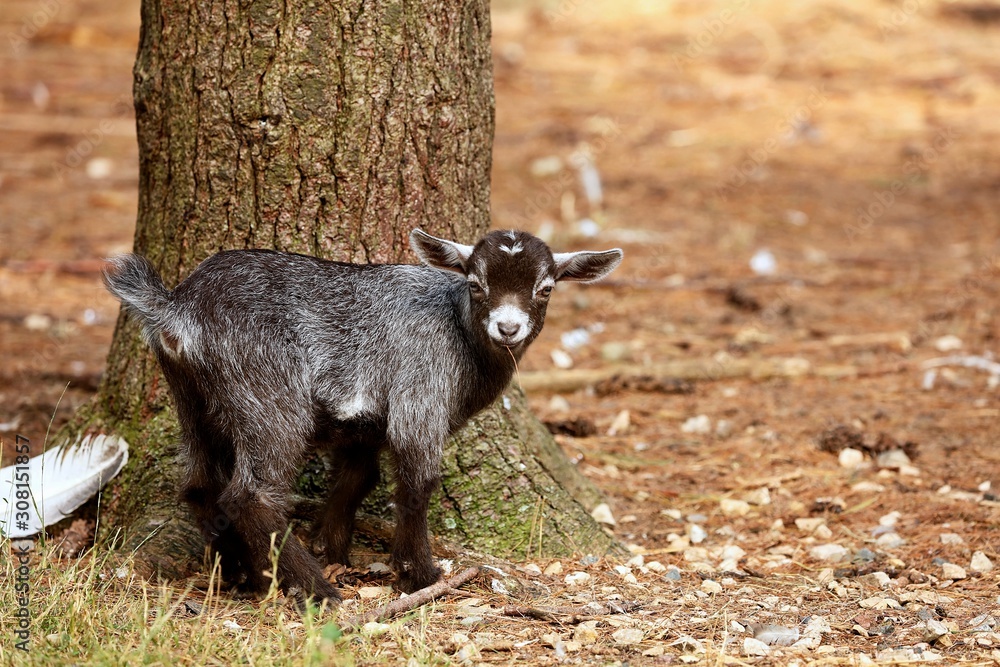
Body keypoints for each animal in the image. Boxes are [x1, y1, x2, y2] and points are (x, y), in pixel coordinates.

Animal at [103, 229, 622, 602]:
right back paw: (316, 588)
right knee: (251, 495)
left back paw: (239, 573)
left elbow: (358, 477)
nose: (508, 327)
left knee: (199, 485)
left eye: (545, 287)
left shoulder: (363, 428)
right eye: (476, 284)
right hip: (268, 396)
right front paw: (419, 575)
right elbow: (417, 482)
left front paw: (332, 546)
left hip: (191, 400)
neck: (456, 330)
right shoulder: (419, 395)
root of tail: (177, 310)